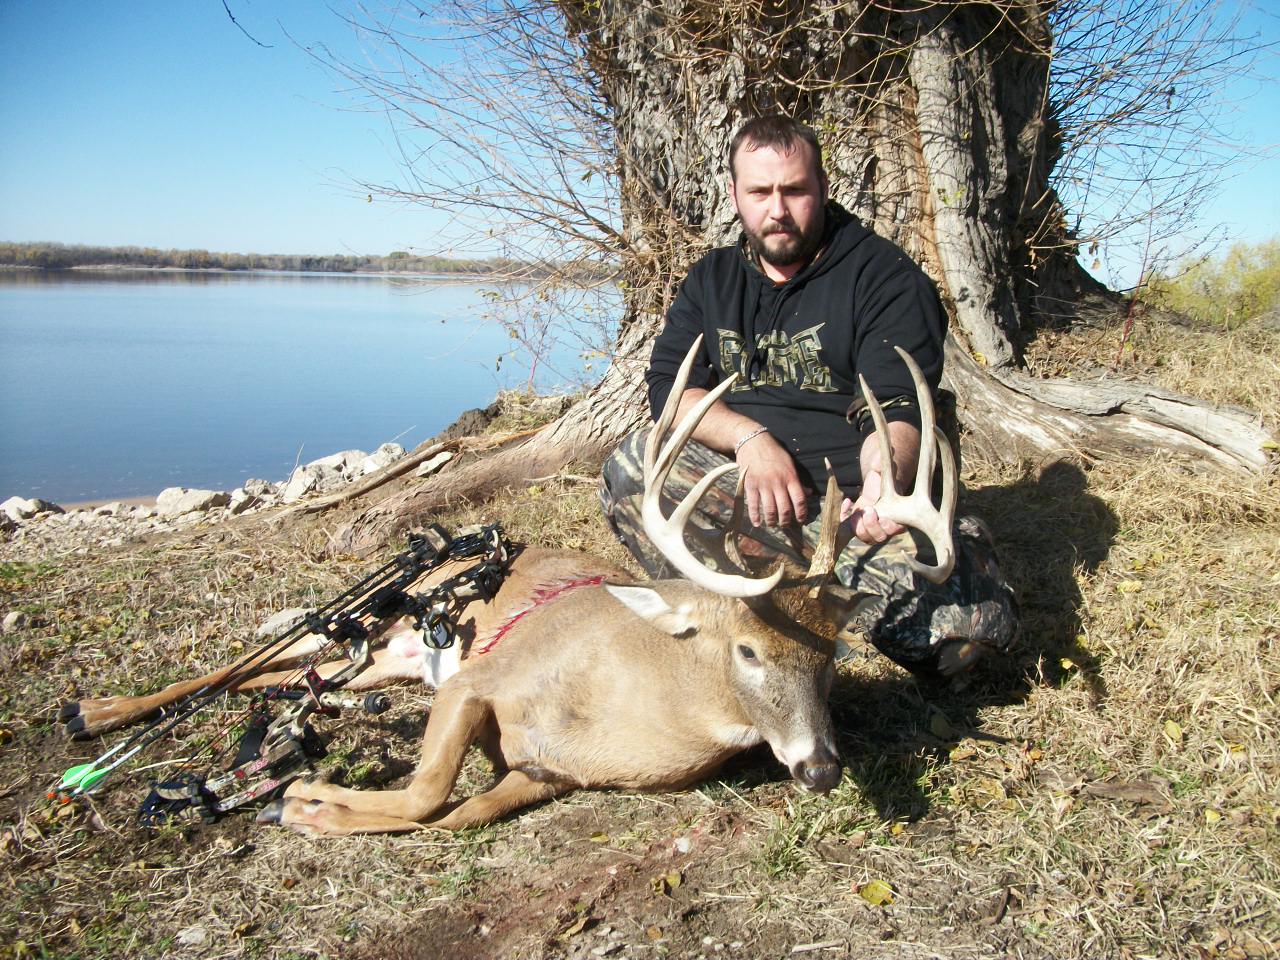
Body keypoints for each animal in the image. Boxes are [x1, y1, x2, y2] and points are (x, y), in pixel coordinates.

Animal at [57, 337, 955, 835]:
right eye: (748, 650)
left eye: (832, 659)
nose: (821, 768)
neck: (630, 704)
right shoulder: (478, 682)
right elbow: (426, 794)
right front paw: (304, 798)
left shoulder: (543, 772)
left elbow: (451, 817)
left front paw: (306, 804)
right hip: (390, 629)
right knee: (240, 666)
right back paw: (91, 712)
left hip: (386, 659)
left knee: (284, 679)